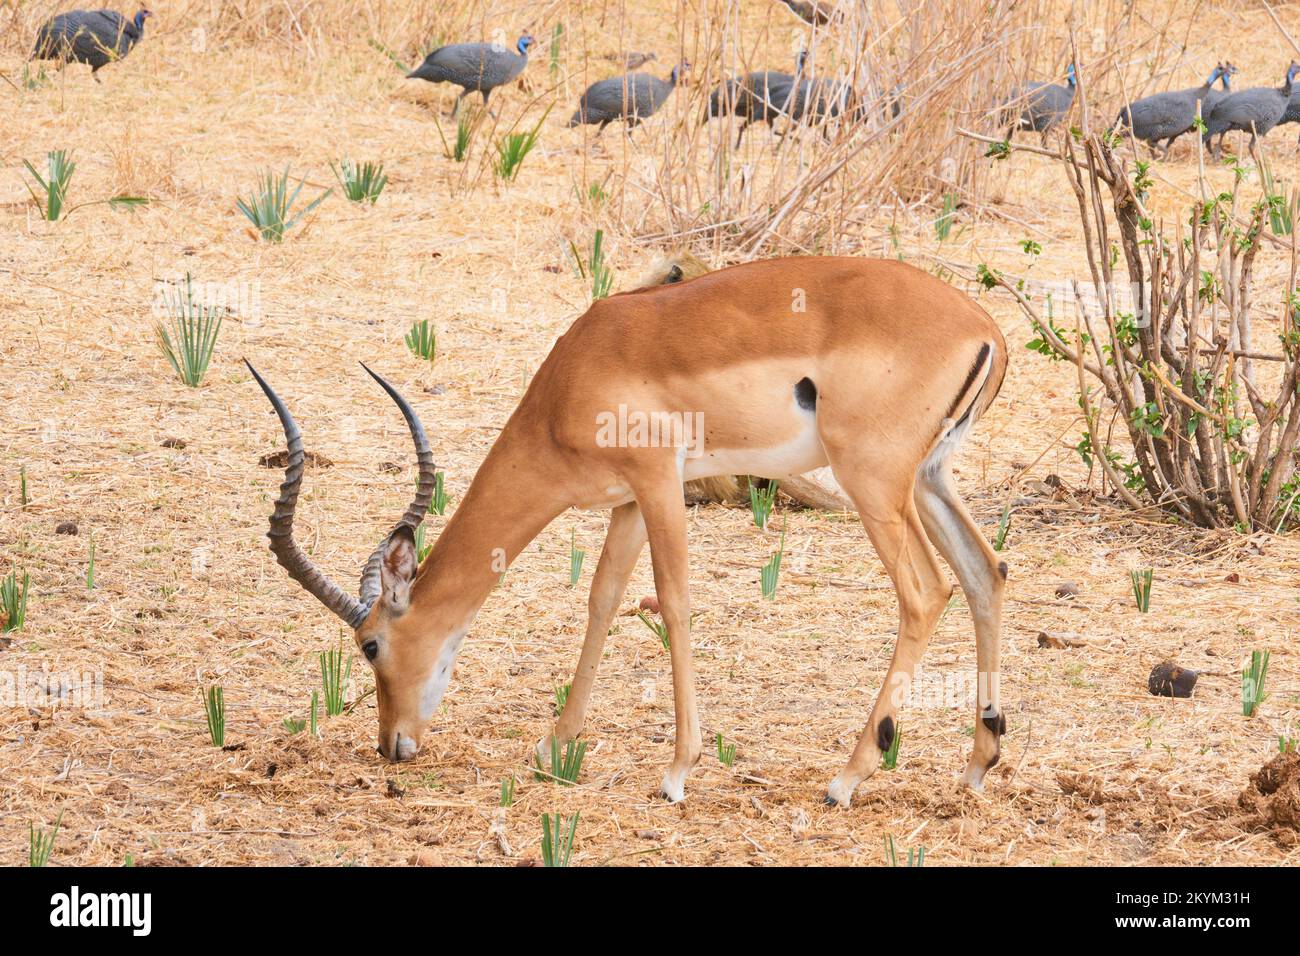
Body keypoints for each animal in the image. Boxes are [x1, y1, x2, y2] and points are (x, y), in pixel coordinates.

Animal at [246, 256, 1008, 806]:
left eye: (371, 644)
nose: (392, 745)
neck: (576, 375)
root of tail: (987, 328)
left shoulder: (659, 482)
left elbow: (672, 603)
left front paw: (676, 773)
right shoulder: (628, 504)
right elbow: (603, 600)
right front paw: (555, 749)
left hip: (875, 483)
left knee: (926, 592)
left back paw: (845, 780)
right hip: (929, 480)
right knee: (986, 572)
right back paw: (977, 765)